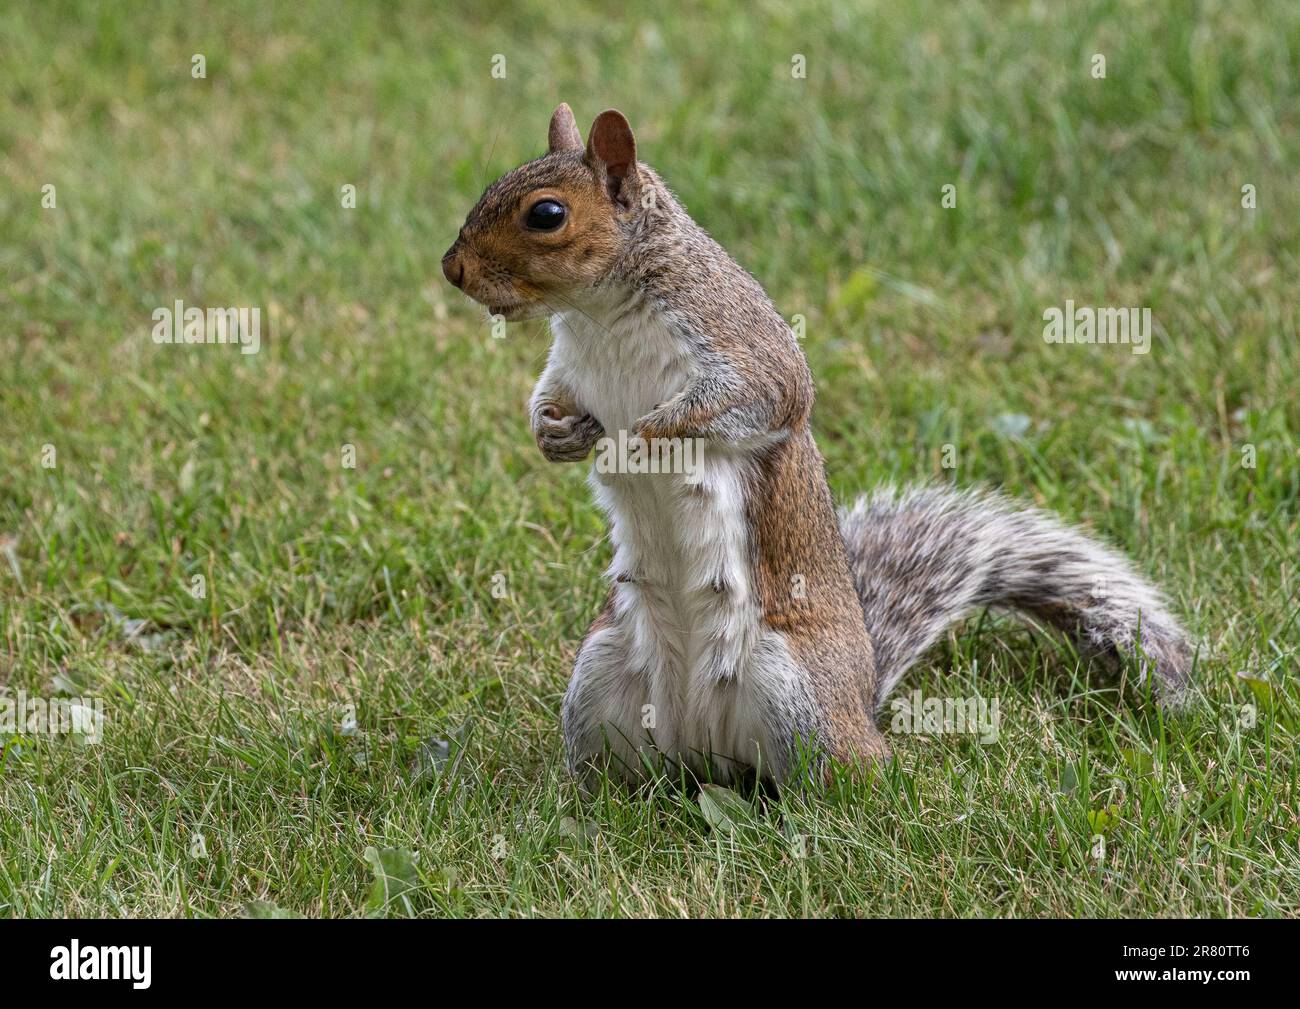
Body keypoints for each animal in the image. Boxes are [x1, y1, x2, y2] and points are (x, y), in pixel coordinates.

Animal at [442, 104, 1194, 788]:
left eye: (547, 214)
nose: (453, 269)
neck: (600, 312)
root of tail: (706, 748)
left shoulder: (743, 345)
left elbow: (757, 398)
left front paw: (641, 436)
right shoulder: (569, 367)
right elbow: (548, 397)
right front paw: (555, 435)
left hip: (796, 694)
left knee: (855, 776)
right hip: (599, 676)